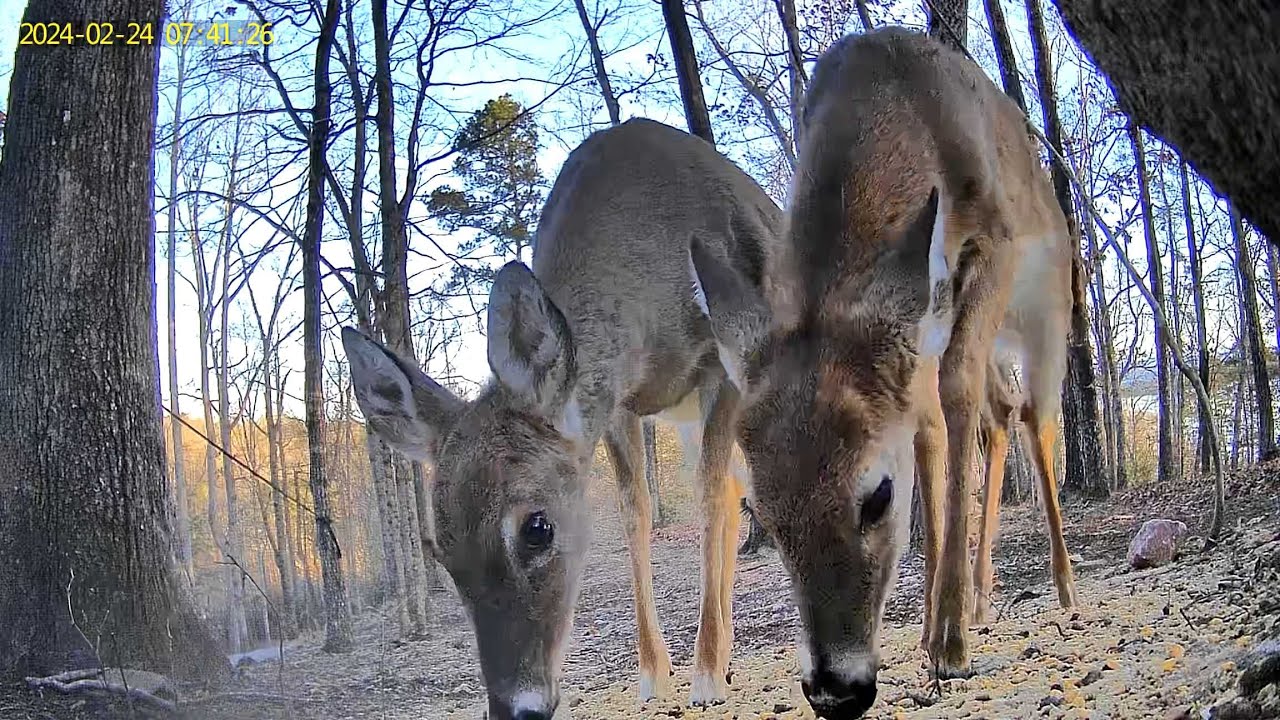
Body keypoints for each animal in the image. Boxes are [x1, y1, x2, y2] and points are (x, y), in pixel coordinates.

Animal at [341, 118, 785, 720]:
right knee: (742, 482)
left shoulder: (720, 365)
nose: (516, 707)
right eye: (440, 550)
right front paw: (655, 673)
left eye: (537, 529)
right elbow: (634, 512)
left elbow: (707, 495)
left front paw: (707, 673)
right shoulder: (619, 403)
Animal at [687, 27, 1078, 719]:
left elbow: (955, 396)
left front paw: (948, 645)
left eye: (878, 498)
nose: (834, 690)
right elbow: (929, 433)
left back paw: (1063, 588)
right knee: (1001, 413)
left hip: (1046, 306)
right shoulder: (915, 333)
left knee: (1035, 415)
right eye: (766, 514)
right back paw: (982, 598)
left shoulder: (995, 243)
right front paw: (932, 625)